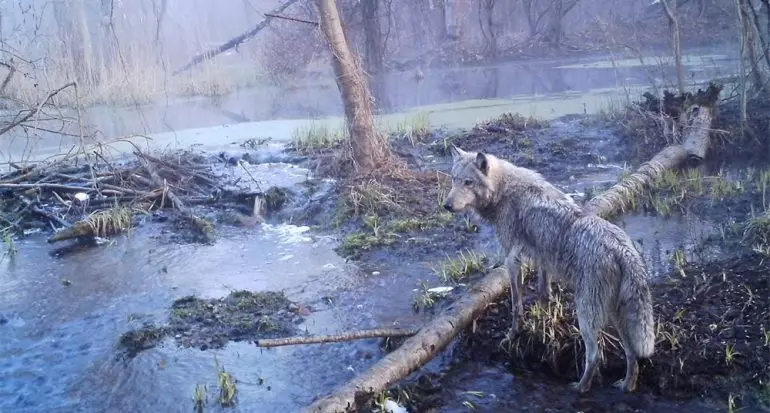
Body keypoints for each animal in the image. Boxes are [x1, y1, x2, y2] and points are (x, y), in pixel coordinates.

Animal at [440, 146, 652, 392]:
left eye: (468, 182)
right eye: (454, 180)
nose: (447, 205)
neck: (504, 190)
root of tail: (623, 249)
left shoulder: (512, 260)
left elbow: (516, 306)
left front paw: (513, 334)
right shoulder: (543, 259)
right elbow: (543, 293)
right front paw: (542, 324)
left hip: (586, 315)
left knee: (595, 356)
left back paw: (580, 388)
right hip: (616, 316)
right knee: (632, 354)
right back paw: (626, 385)